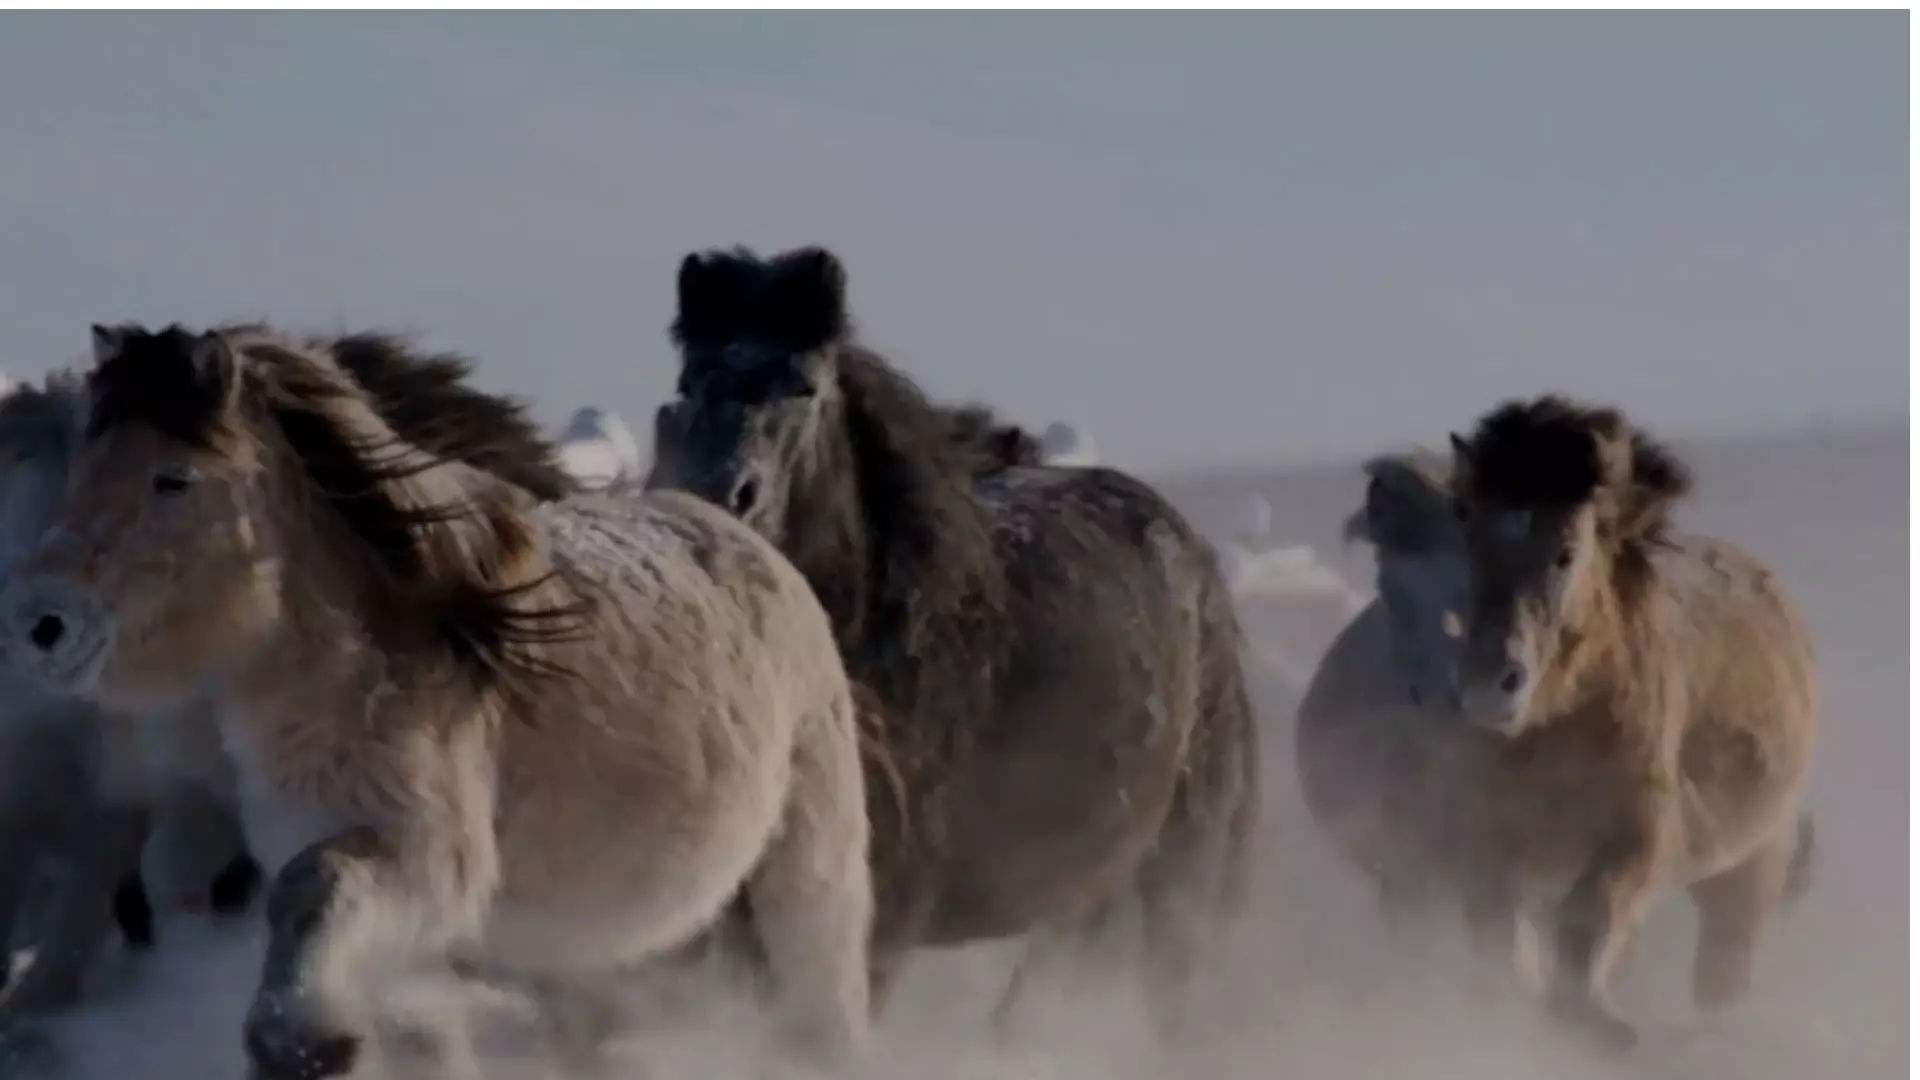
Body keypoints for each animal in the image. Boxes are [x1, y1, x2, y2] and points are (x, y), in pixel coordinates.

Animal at [0, 322, 875, 1076]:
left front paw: (300, 1043)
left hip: (809, 871)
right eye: (82, 470)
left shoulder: (426, 862)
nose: (41, 623)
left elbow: (312, 889)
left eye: (172, 479)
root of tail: (741, 536)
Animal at [652, 244, 1267, 1037]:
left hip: (1185, 858)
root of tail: (1197, 562)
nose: (722, 497)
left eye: (804, 385)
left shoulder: (874, 926)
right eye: (690, 380)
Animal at [1443, 390, 1820, 1045]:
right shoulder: (1491, 835)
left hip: (1754, 860)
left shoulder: (1639, 838)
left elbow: (1585, 917)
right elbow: (1499, 927)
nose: (1491, 683)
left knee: (1725, 961)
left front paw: (1596, 1023)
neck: (1559, 732)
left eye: (1565, 553)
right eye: (1470, 534)